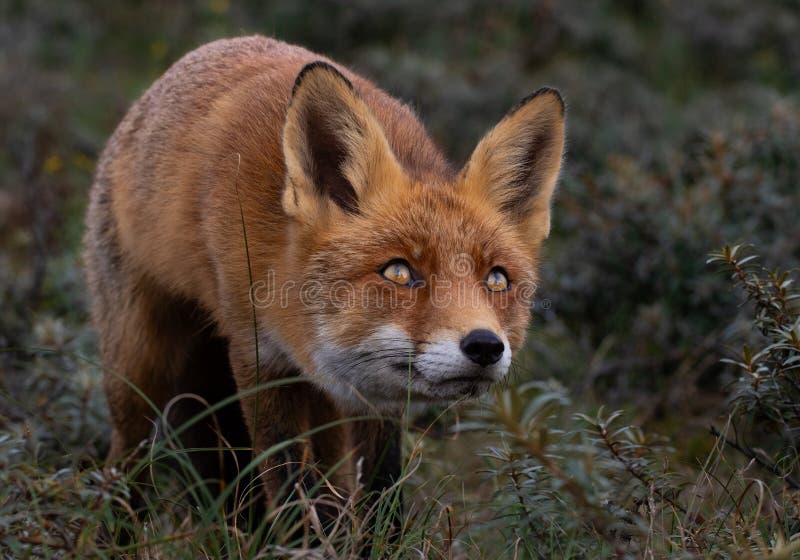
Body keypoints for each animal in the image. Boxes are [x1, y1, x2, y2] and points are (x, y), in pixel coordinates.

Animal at [83, 35, 565, 532]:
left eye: (496, 279)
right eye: (398, 272)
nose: (485, 346)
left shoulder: (375, 394)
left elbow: (381, 491)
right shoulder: (259, 358)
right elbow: (288, 481)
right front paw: (301, 543)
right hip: (139, 367)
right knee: (128, 461)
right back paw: (117, 531)